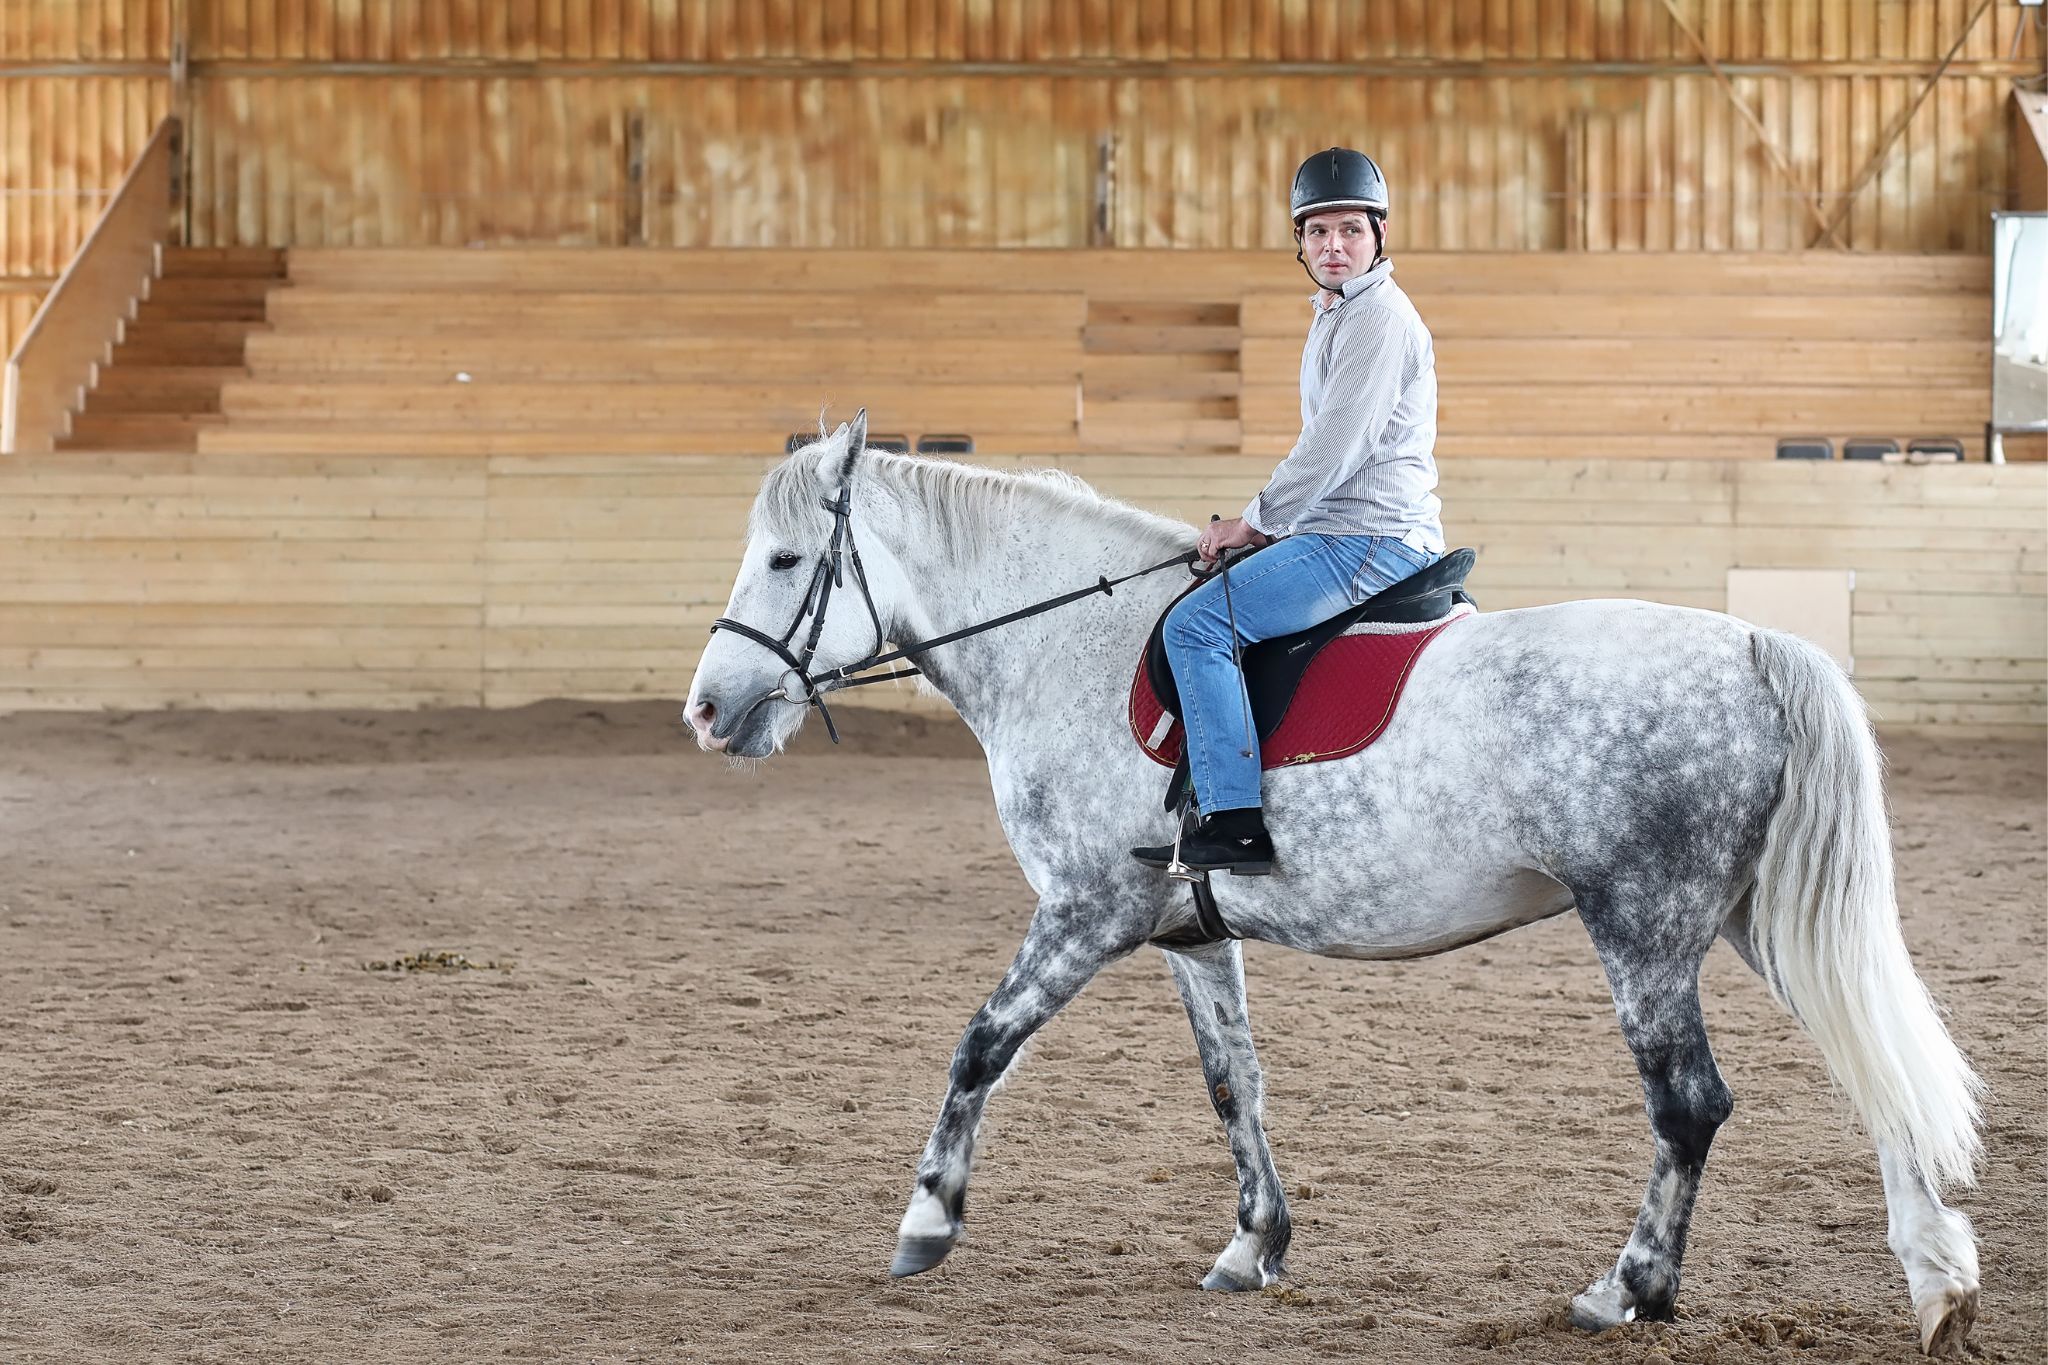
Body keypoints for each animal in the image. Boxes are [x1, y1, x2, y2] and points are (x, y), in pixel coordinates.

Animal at [683, 416, 1984, 1356]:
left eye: (787, 560)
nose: (706, 709)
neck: (1068, 652)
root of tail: (1752, 648)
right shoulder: (1186, 933)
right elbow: (1234, 1086)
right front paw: (1253, 1246)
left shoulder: (1087, 914)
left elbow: (978, 1046)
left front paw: (926, 1222)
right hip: (1755, 919)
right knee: (1867, 1062)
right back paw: (1937, 1283)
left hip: (1644, 927)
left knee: (1689, 1108)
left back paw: (1626, 1292)